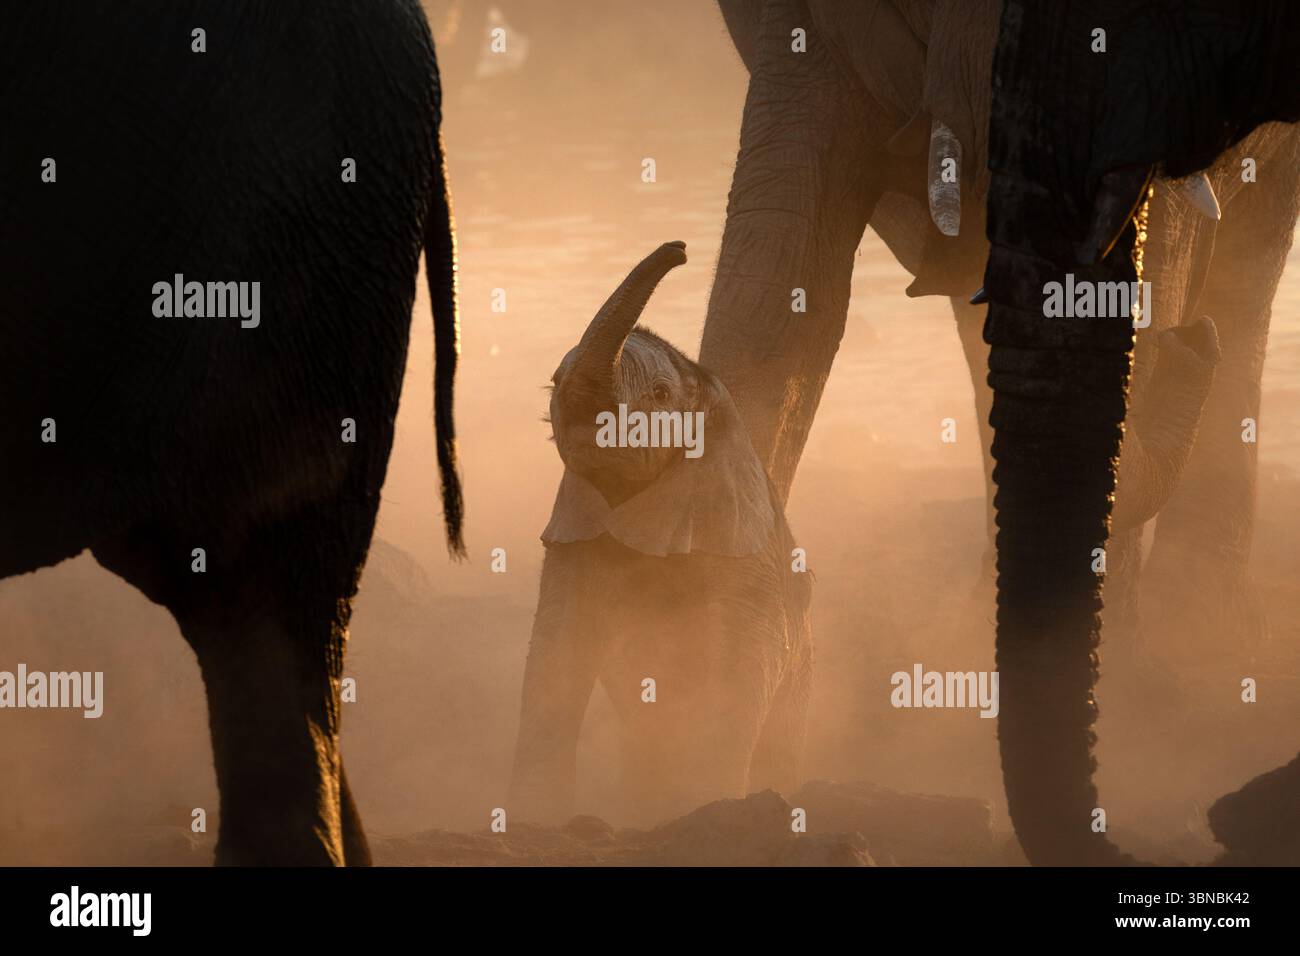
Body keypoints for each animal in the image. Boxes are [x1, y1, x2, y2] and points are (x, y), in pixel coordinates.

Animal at [509, 242, 813, 824]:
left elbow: (740, 670)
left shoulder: (745, 557)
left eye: (660, 392)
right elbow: (554, 653)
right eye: (553, 381)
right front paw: (533, 820)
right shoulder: (573, 541)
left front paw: (706, 813)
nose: (681, 249)